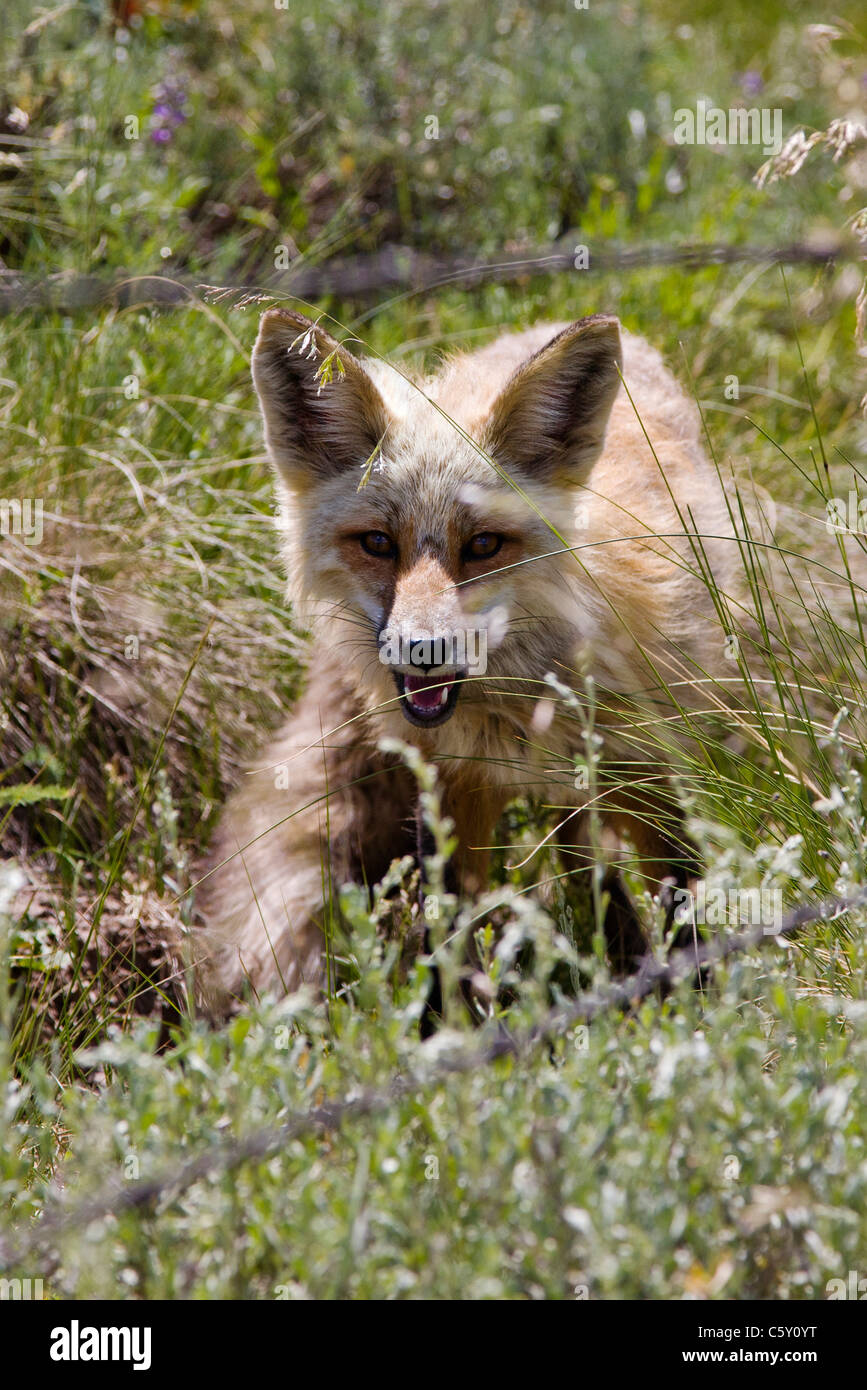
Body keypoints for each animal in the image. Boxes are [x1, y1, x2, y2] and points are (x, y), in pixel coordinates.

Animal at [194, 309, 746, 1020]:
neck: (517, 706)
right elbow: (451, 931)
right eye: (378, 542)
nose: (422, 649)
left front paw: (699, 1014)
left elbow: (683, 903)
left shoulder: (649, 768)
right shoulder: (451, 781)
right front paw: (459, 1030)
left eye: (483, 545)